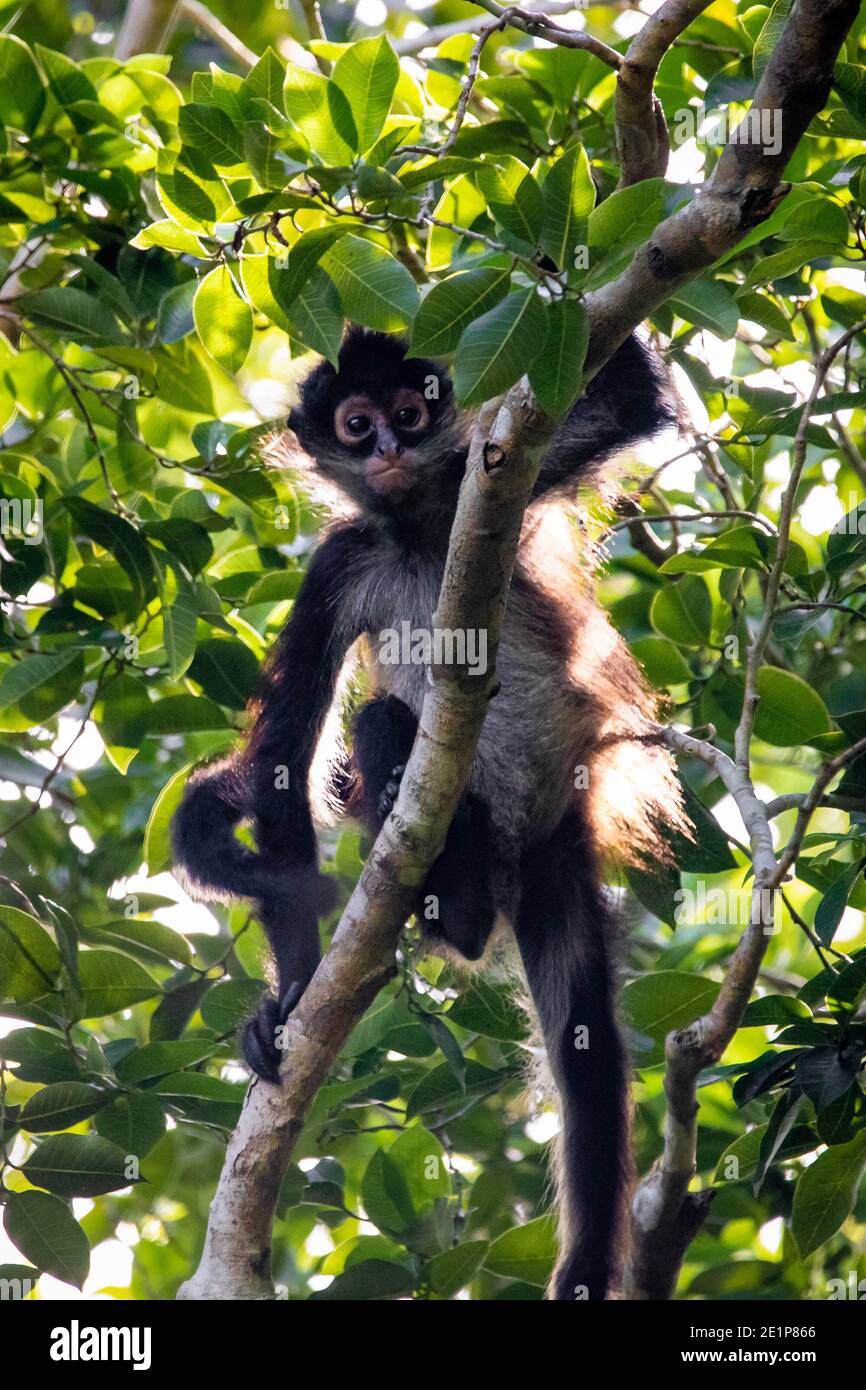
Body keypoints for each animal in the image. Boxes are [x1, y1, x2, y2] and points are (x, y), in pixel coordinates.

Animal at [171, 325, 683, 1301]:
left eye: (410, 414)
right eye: (355, 424)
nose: (387, 447)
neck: (416, 533)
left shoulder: (491, 477)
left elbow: (631, 396)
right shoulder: (341, 562)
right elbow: (283, 760)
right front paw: (293, 994)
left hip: (557, 850)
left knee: (588, 1056)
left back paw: (587, 1269)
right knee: (379, 721)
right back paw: (456, 909)